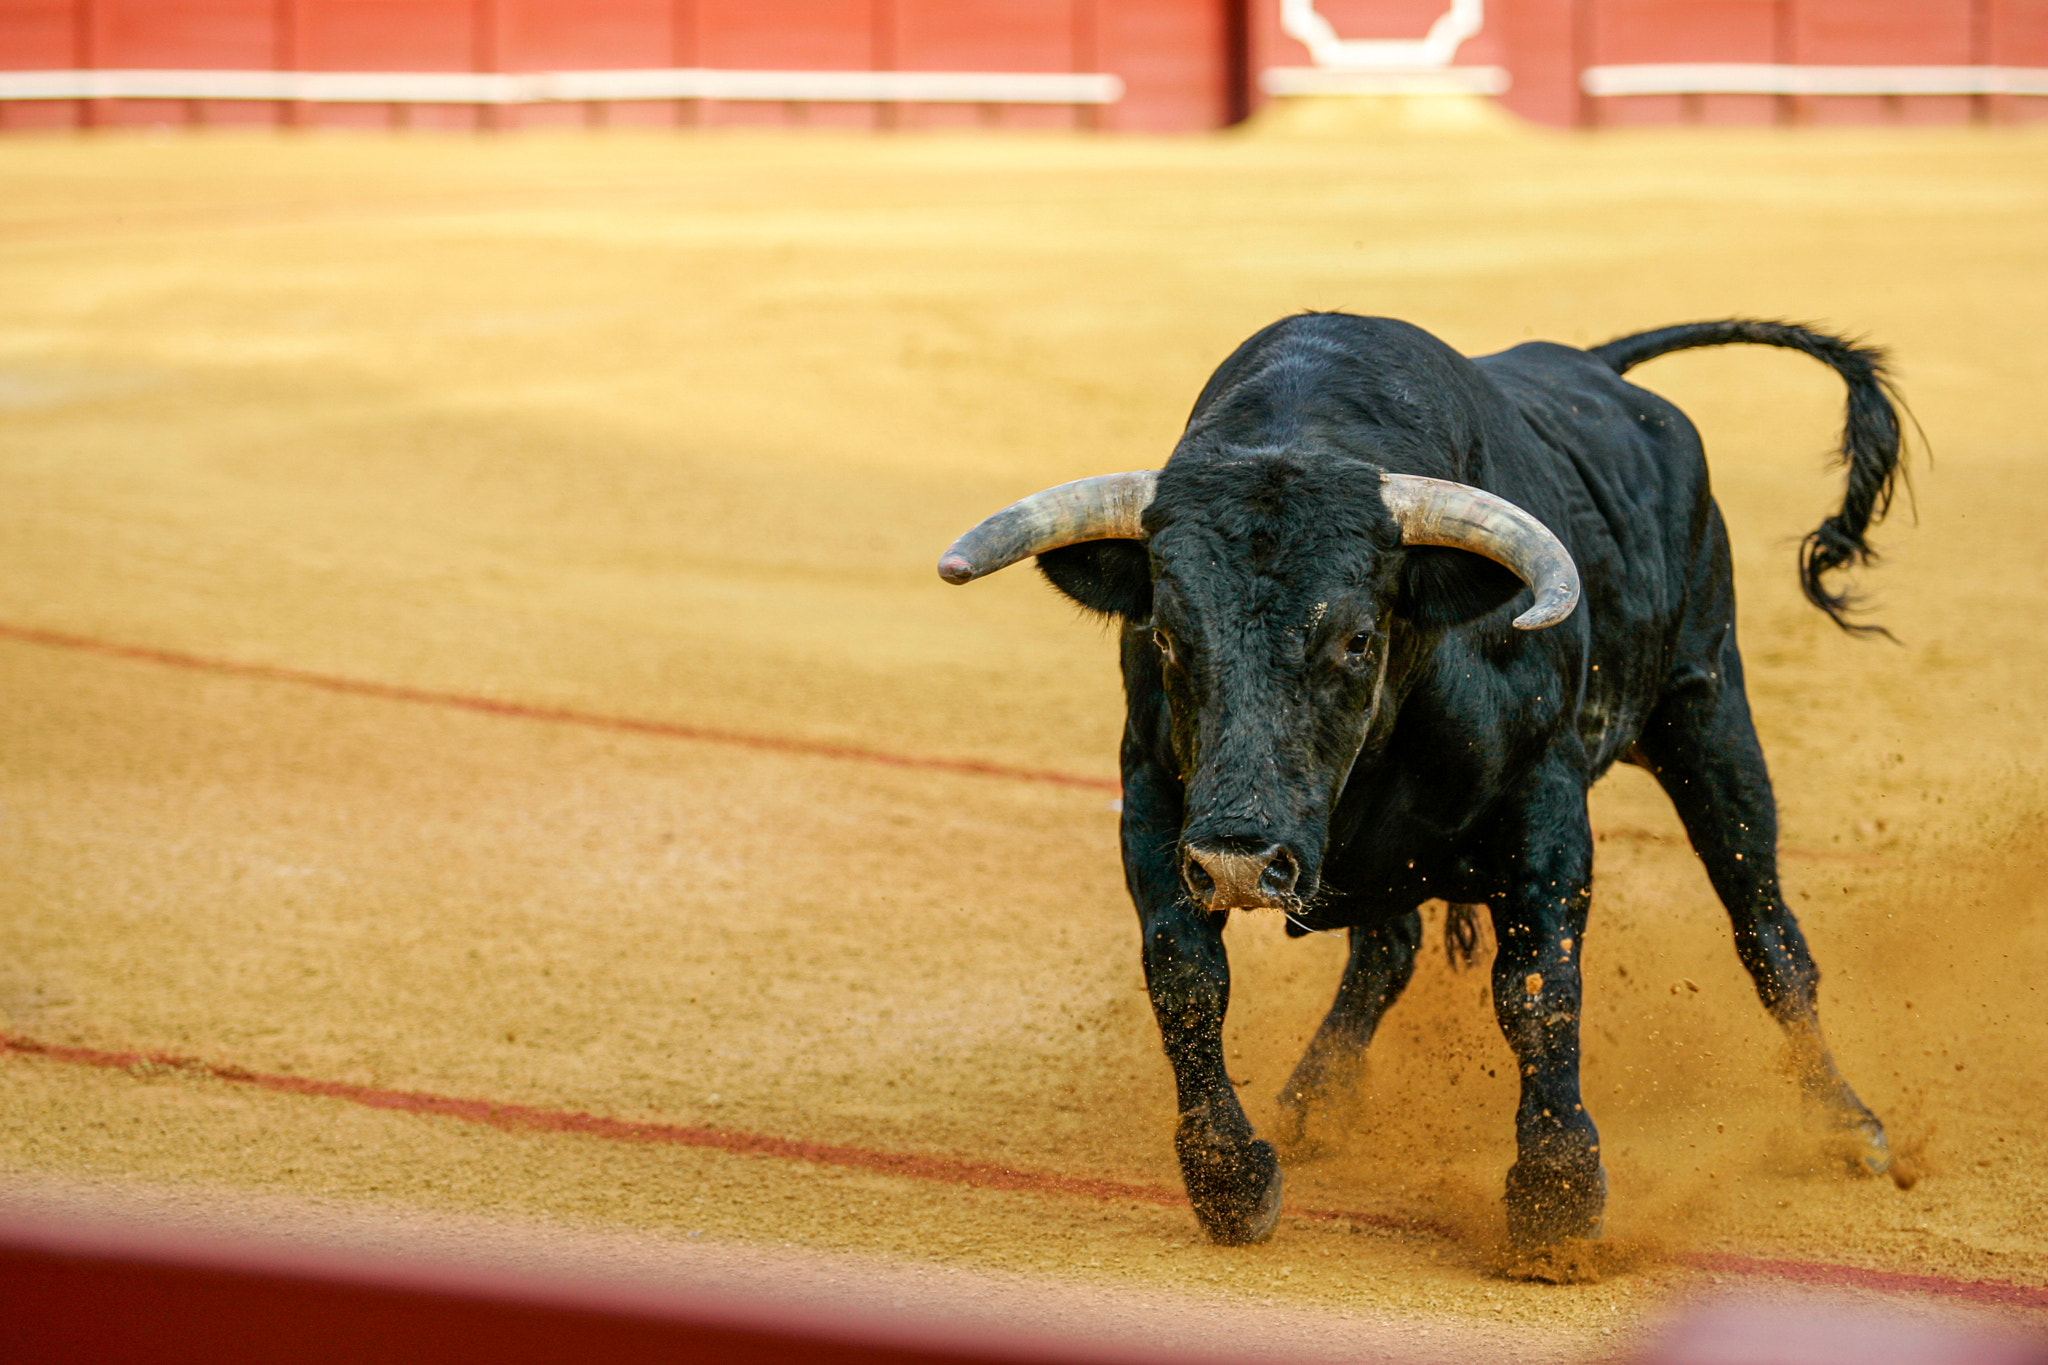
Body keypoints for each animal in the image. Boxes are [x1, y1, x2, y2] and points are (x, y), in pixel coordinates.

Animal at [936, 313, 1905, 1257]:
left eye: (1358, 638)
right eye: (1170, 636)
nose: (1242, 862)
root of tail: (1598, 363)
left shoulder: (1543, 799)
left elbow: (1537, 984)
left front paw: (1556, 1200)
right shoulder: (1155, 798)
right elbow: (1184, 973)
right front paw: (1232, 1180)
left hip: (1705, 707)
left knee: (1766, 927)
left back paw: (1848, 1126)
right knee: (1387, 949)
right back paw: (1312, 1105)